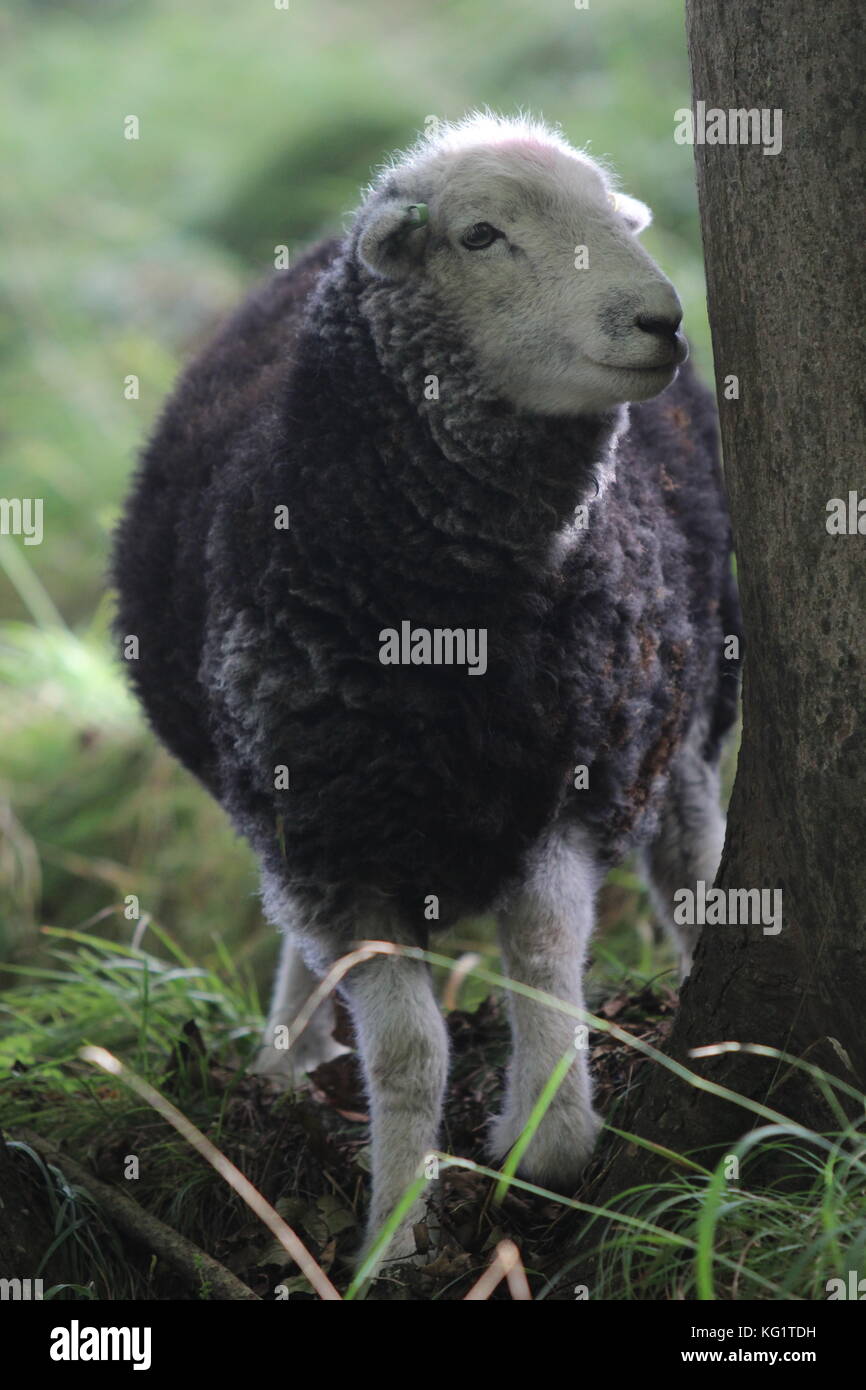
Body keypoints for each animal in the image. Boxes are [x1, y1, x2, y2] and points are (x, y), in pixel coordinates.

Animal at [113, 113, 742, 1269]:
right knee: (300, 944)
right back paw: (288, 1056)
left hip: (673, 706)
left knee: (684, 853)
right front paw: (394, 1233)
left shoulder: (567, 782)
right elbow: (407, 1051)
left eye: (613, 215)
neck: (452, 621)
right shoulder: (327, 833)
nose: (661, 320)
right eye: (479, 235)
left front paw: (546, 1137)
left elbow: (543, 957)